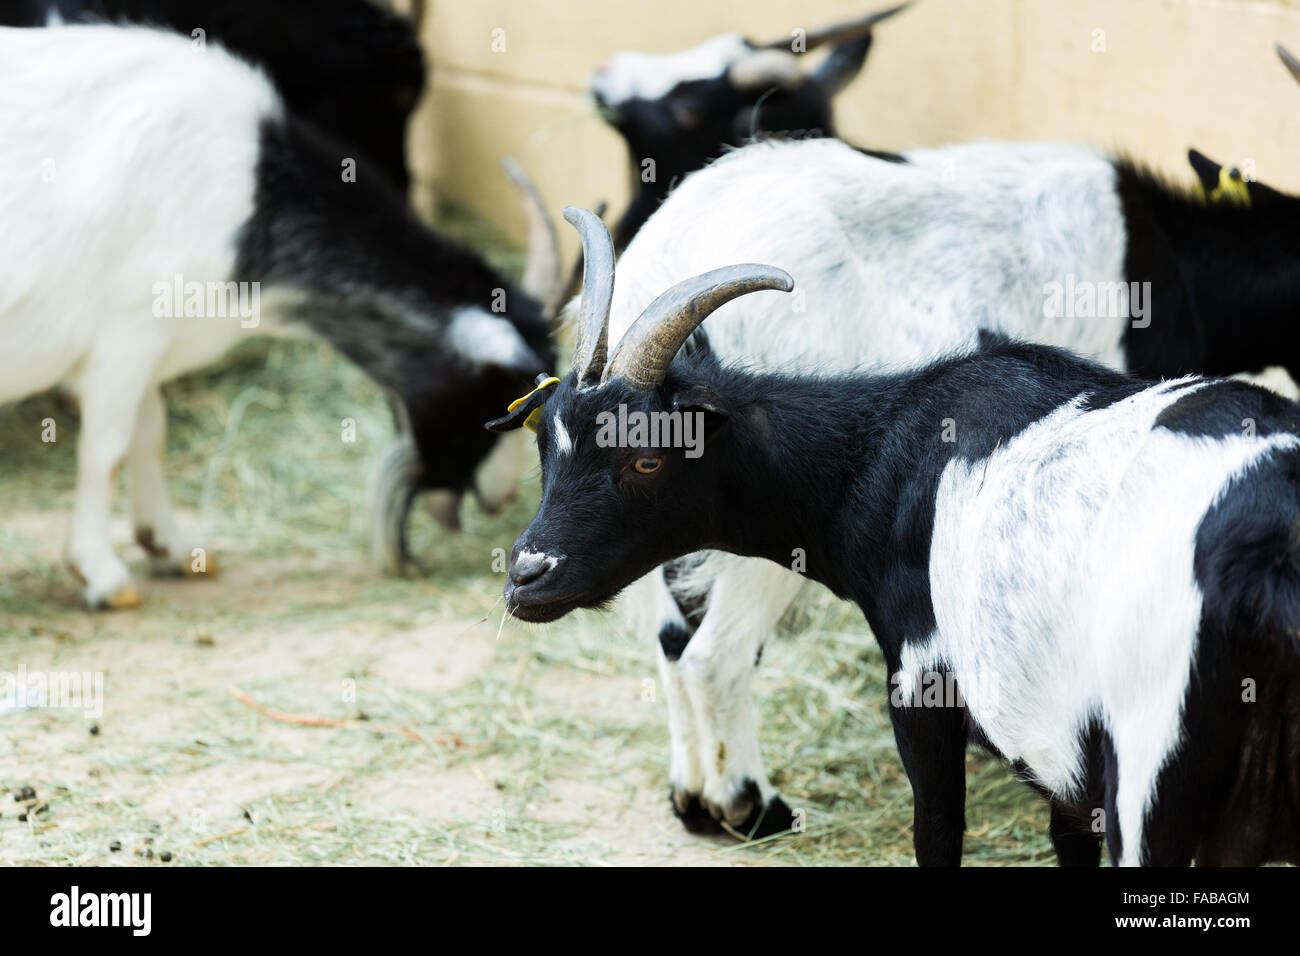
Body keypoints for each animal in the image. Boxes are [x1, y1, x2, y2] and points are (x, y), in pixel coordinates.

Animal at [0, 23, 558, 607]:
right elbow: (106, 448)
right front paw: (103, 576)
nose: (499, 498)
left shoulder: (150, 344)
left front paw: (170, 546)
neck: (255, 196)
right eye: (503, 400)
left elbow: (148, 434)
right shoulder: (127, 333)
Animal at [584, 44, 1300, 843]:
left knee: (671, 639)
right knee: (714, 654)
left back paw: (693, 801)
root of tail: (662, 263)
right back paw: (751, 806)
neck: (1171, 259)